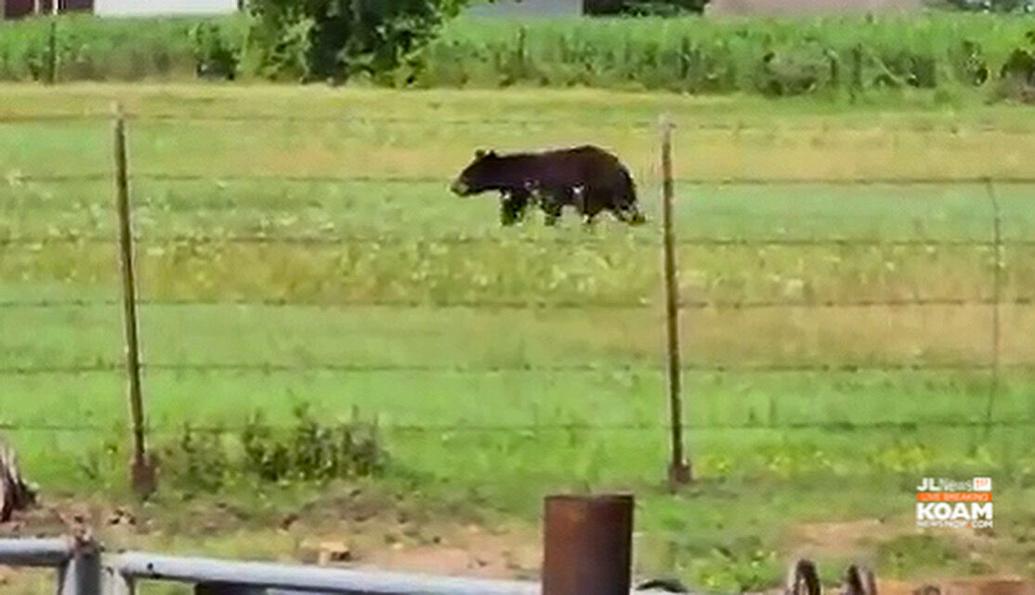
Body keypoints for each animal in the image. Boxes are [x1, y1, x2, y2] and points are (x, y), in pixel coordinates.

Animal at [449, 145, 647, 227]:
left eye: (467, 172)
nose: (454, 187)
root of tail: (621, 167)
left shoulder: (541, 191)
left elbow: (548, 209)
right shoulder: (518, 192)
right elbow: (512, 209)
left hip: (598, 188)